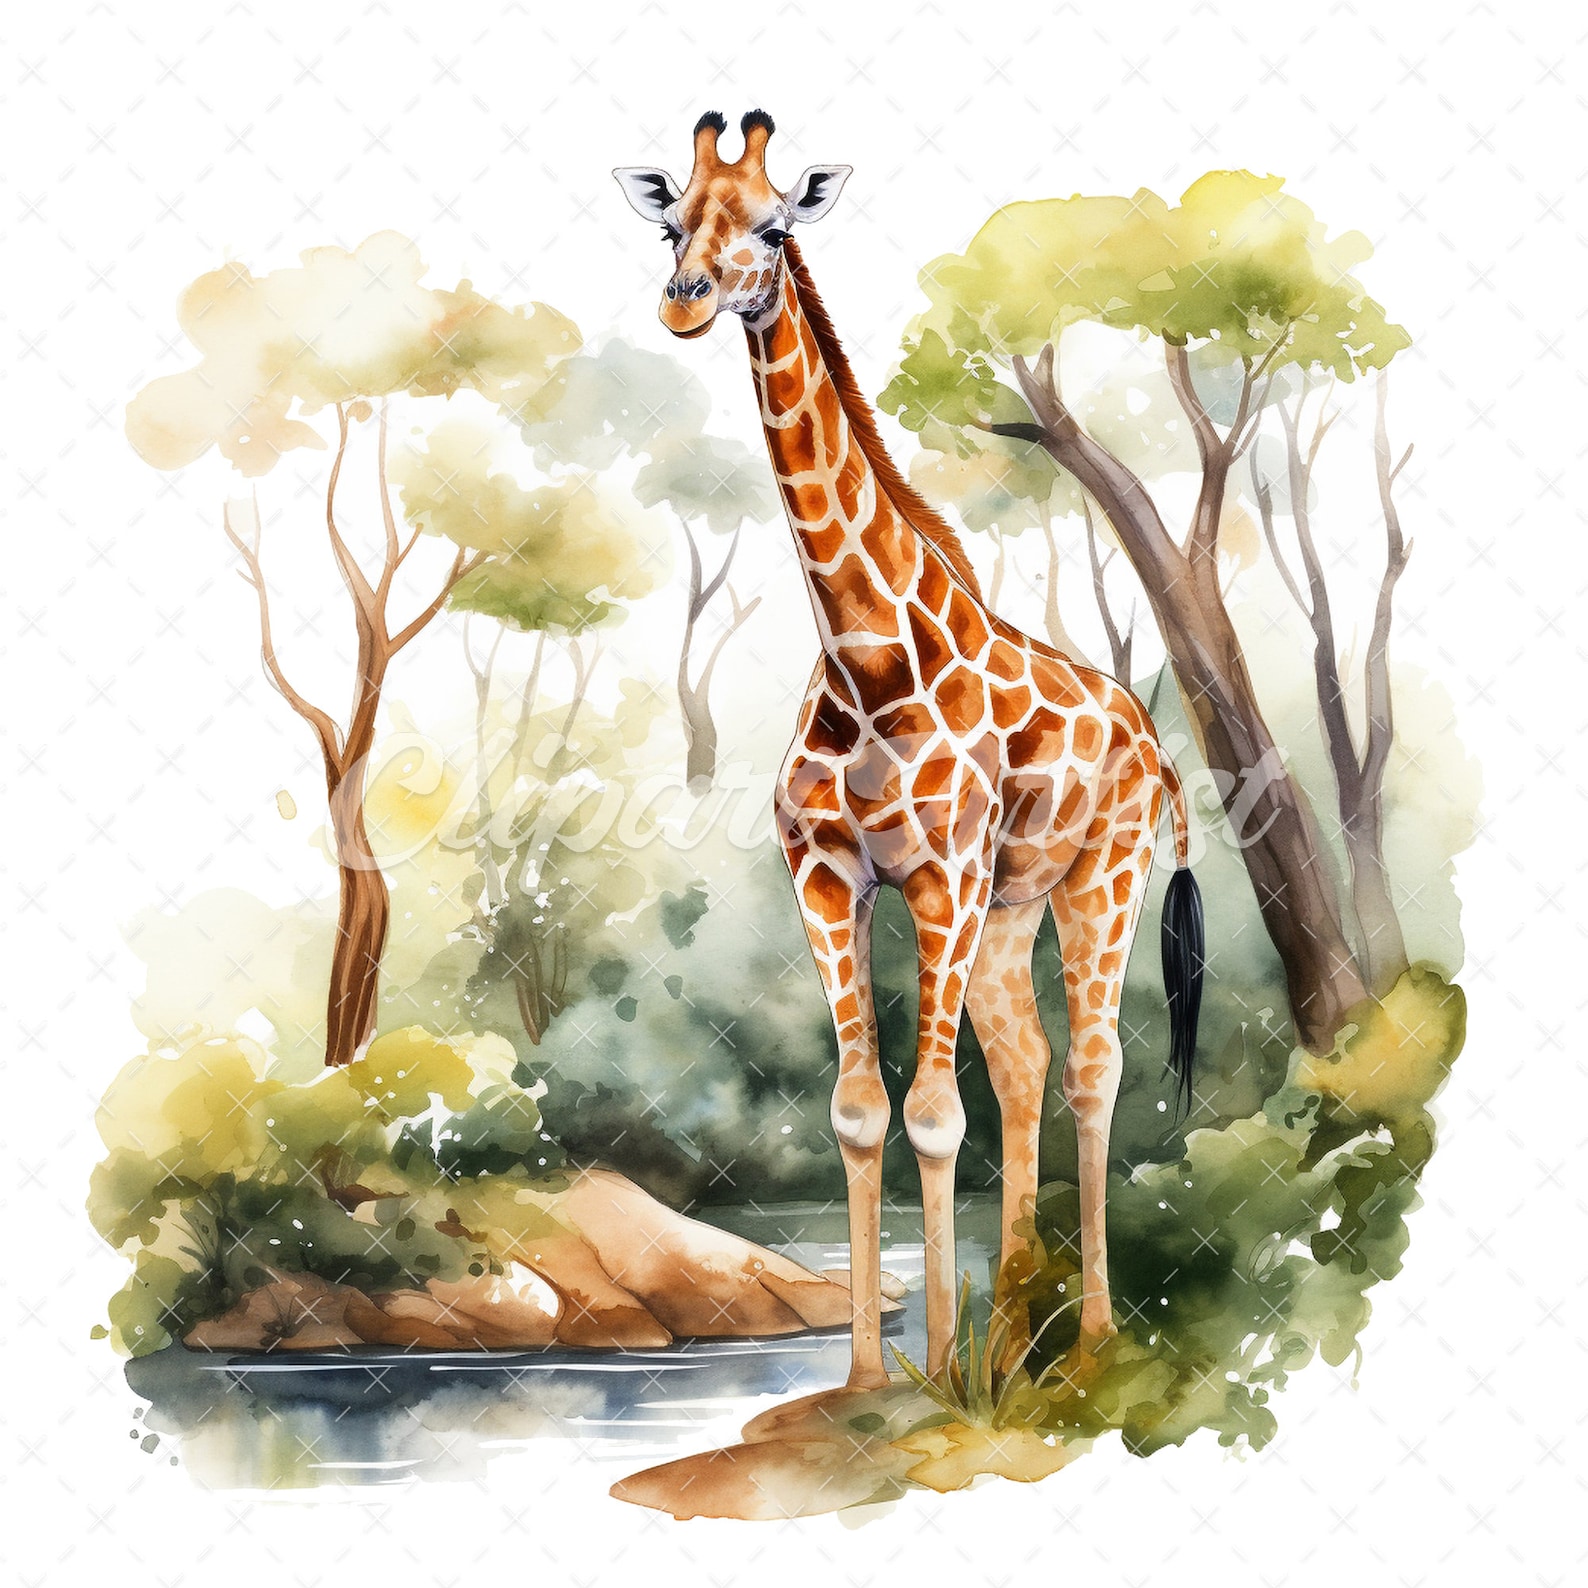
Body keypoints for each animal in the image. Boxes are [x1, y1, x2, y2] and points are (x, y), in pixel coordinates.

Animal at [616, 111, 1205, 1387]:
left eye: (772, 224)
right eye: (674, 220)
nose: (685, 303)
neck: (866, 661)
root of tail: (1160, 751)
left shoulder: (939, 875)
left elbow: (935, 1113)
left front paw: (933, 1377)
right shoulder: (829, 875)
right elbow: (860, 1108)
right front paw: (872, 1380)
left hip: (1103, 878)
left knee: (1092, 1068)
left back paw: (1086, 1338)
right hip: (1011, 909)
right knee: (1027, 1064)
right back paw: (1014, 1331)